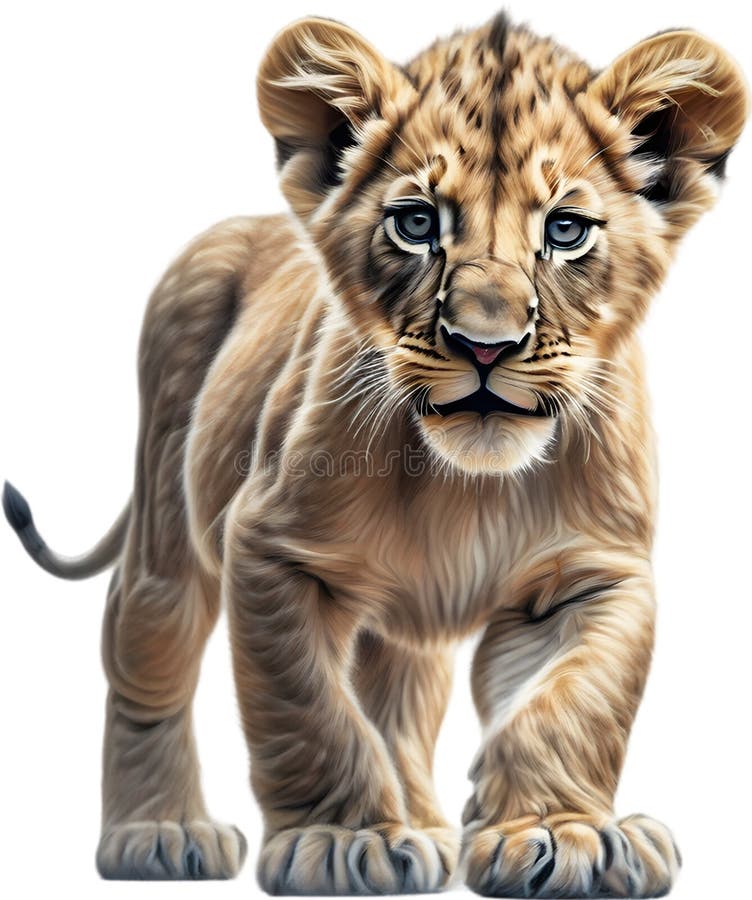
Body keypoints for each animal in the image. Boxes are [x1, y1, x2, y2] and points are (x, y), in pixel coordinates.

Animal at [3, 10, 747, 897]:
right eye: (417, 223)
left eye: (564, 230)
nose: (485, 345)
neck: (467, 485)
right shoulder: (270, 548)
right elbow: (308, 710)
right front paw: (340, 840)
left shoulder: (593, 572)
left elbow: (570, 706)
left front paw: (556, 833)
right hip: (166, 503)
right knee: (150, 642)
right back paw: (158, 831)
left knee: (401, 695)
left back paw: (424, 823)